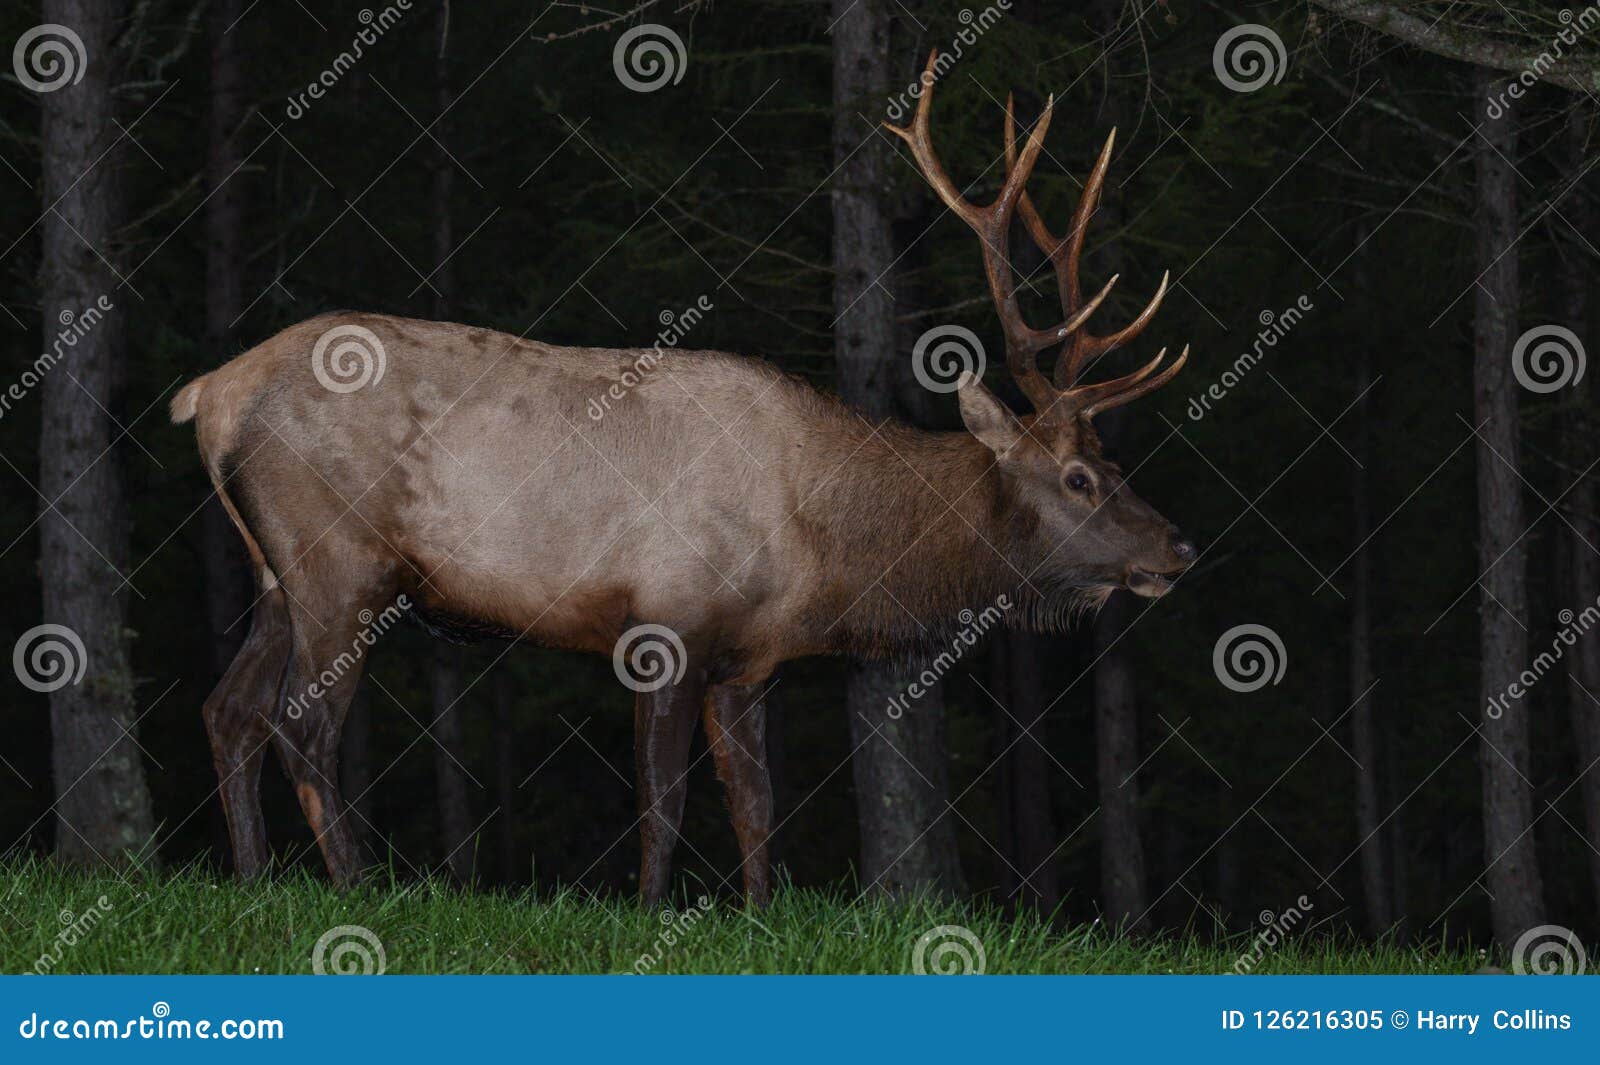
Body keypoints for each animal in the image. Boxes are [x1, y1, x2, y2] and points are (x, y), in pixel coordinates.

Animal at [171, 52, 1194, 908]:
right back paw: (353, 891)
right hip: (339, 559)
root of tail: (209, 393)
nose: (1178, 546)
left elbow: (755, 798)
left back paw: (254, 884)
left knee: (229, 711)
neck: (819, 542)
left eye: (1113, 465)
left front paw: (756, 914)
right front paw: (654, 912)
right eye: (1078, 477)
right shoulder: (666, 615)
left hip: (277, 572)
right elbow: (663, 796)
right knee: (301, 723)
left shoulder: (748, 658)